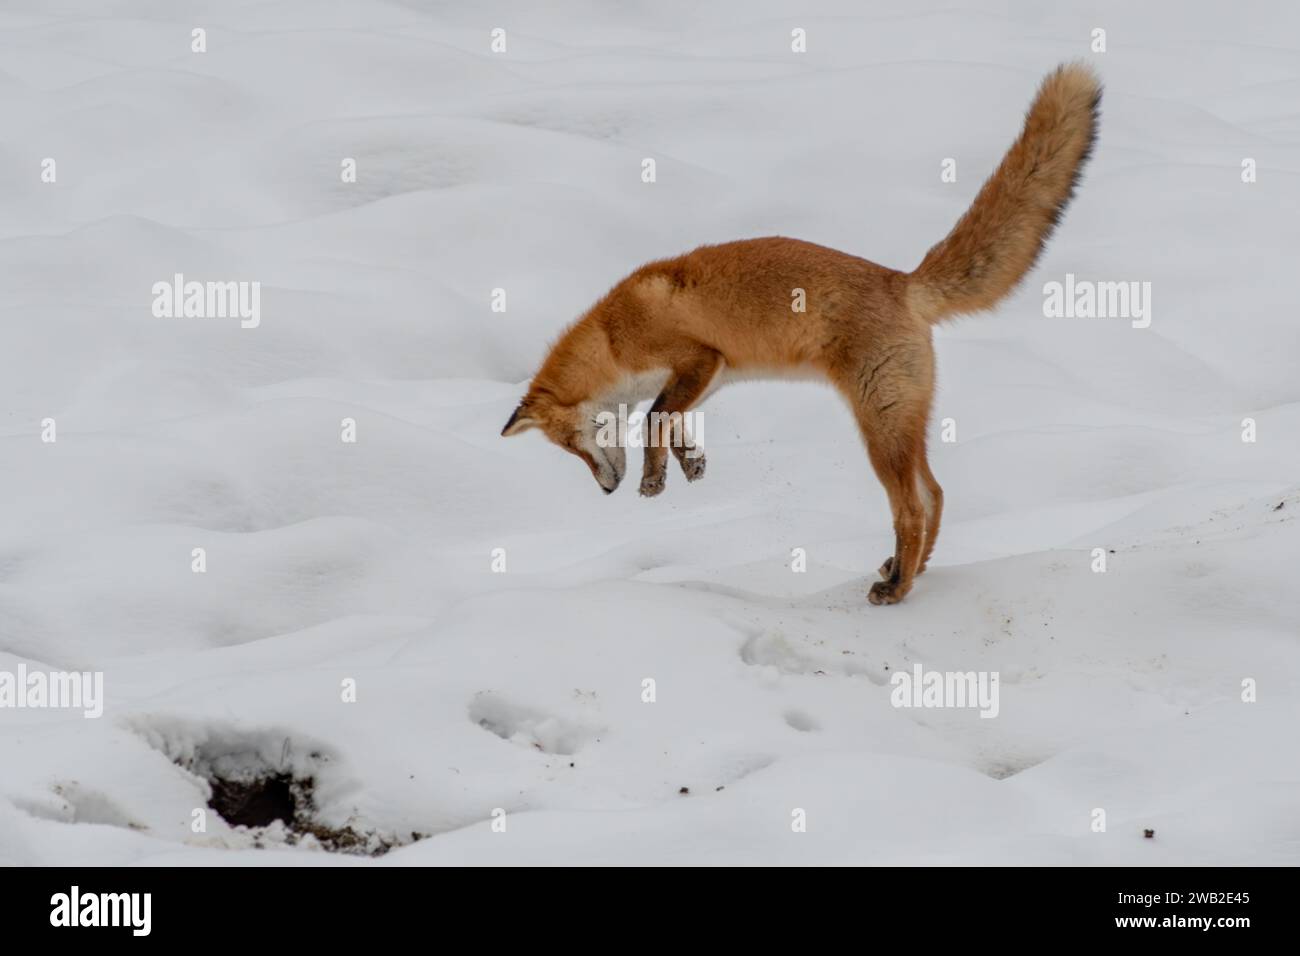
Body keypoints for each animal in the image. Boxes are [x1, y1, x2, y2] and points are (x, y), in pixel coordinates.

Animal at [502, 63, 1101, 605]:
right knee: (935, 495)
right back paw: (907, 573)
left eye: (572, 446)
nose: (607, 491)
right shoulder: (708, 377)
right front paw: (690, 463)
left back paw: (897, 590)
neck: (613, 333)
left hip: (879, 429)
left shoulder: (700, 357)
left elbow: (652, 420)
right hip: (903, 424)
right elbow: (671, 424)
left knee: (912, 507)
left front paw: (654, 479)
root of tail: (903, 282)